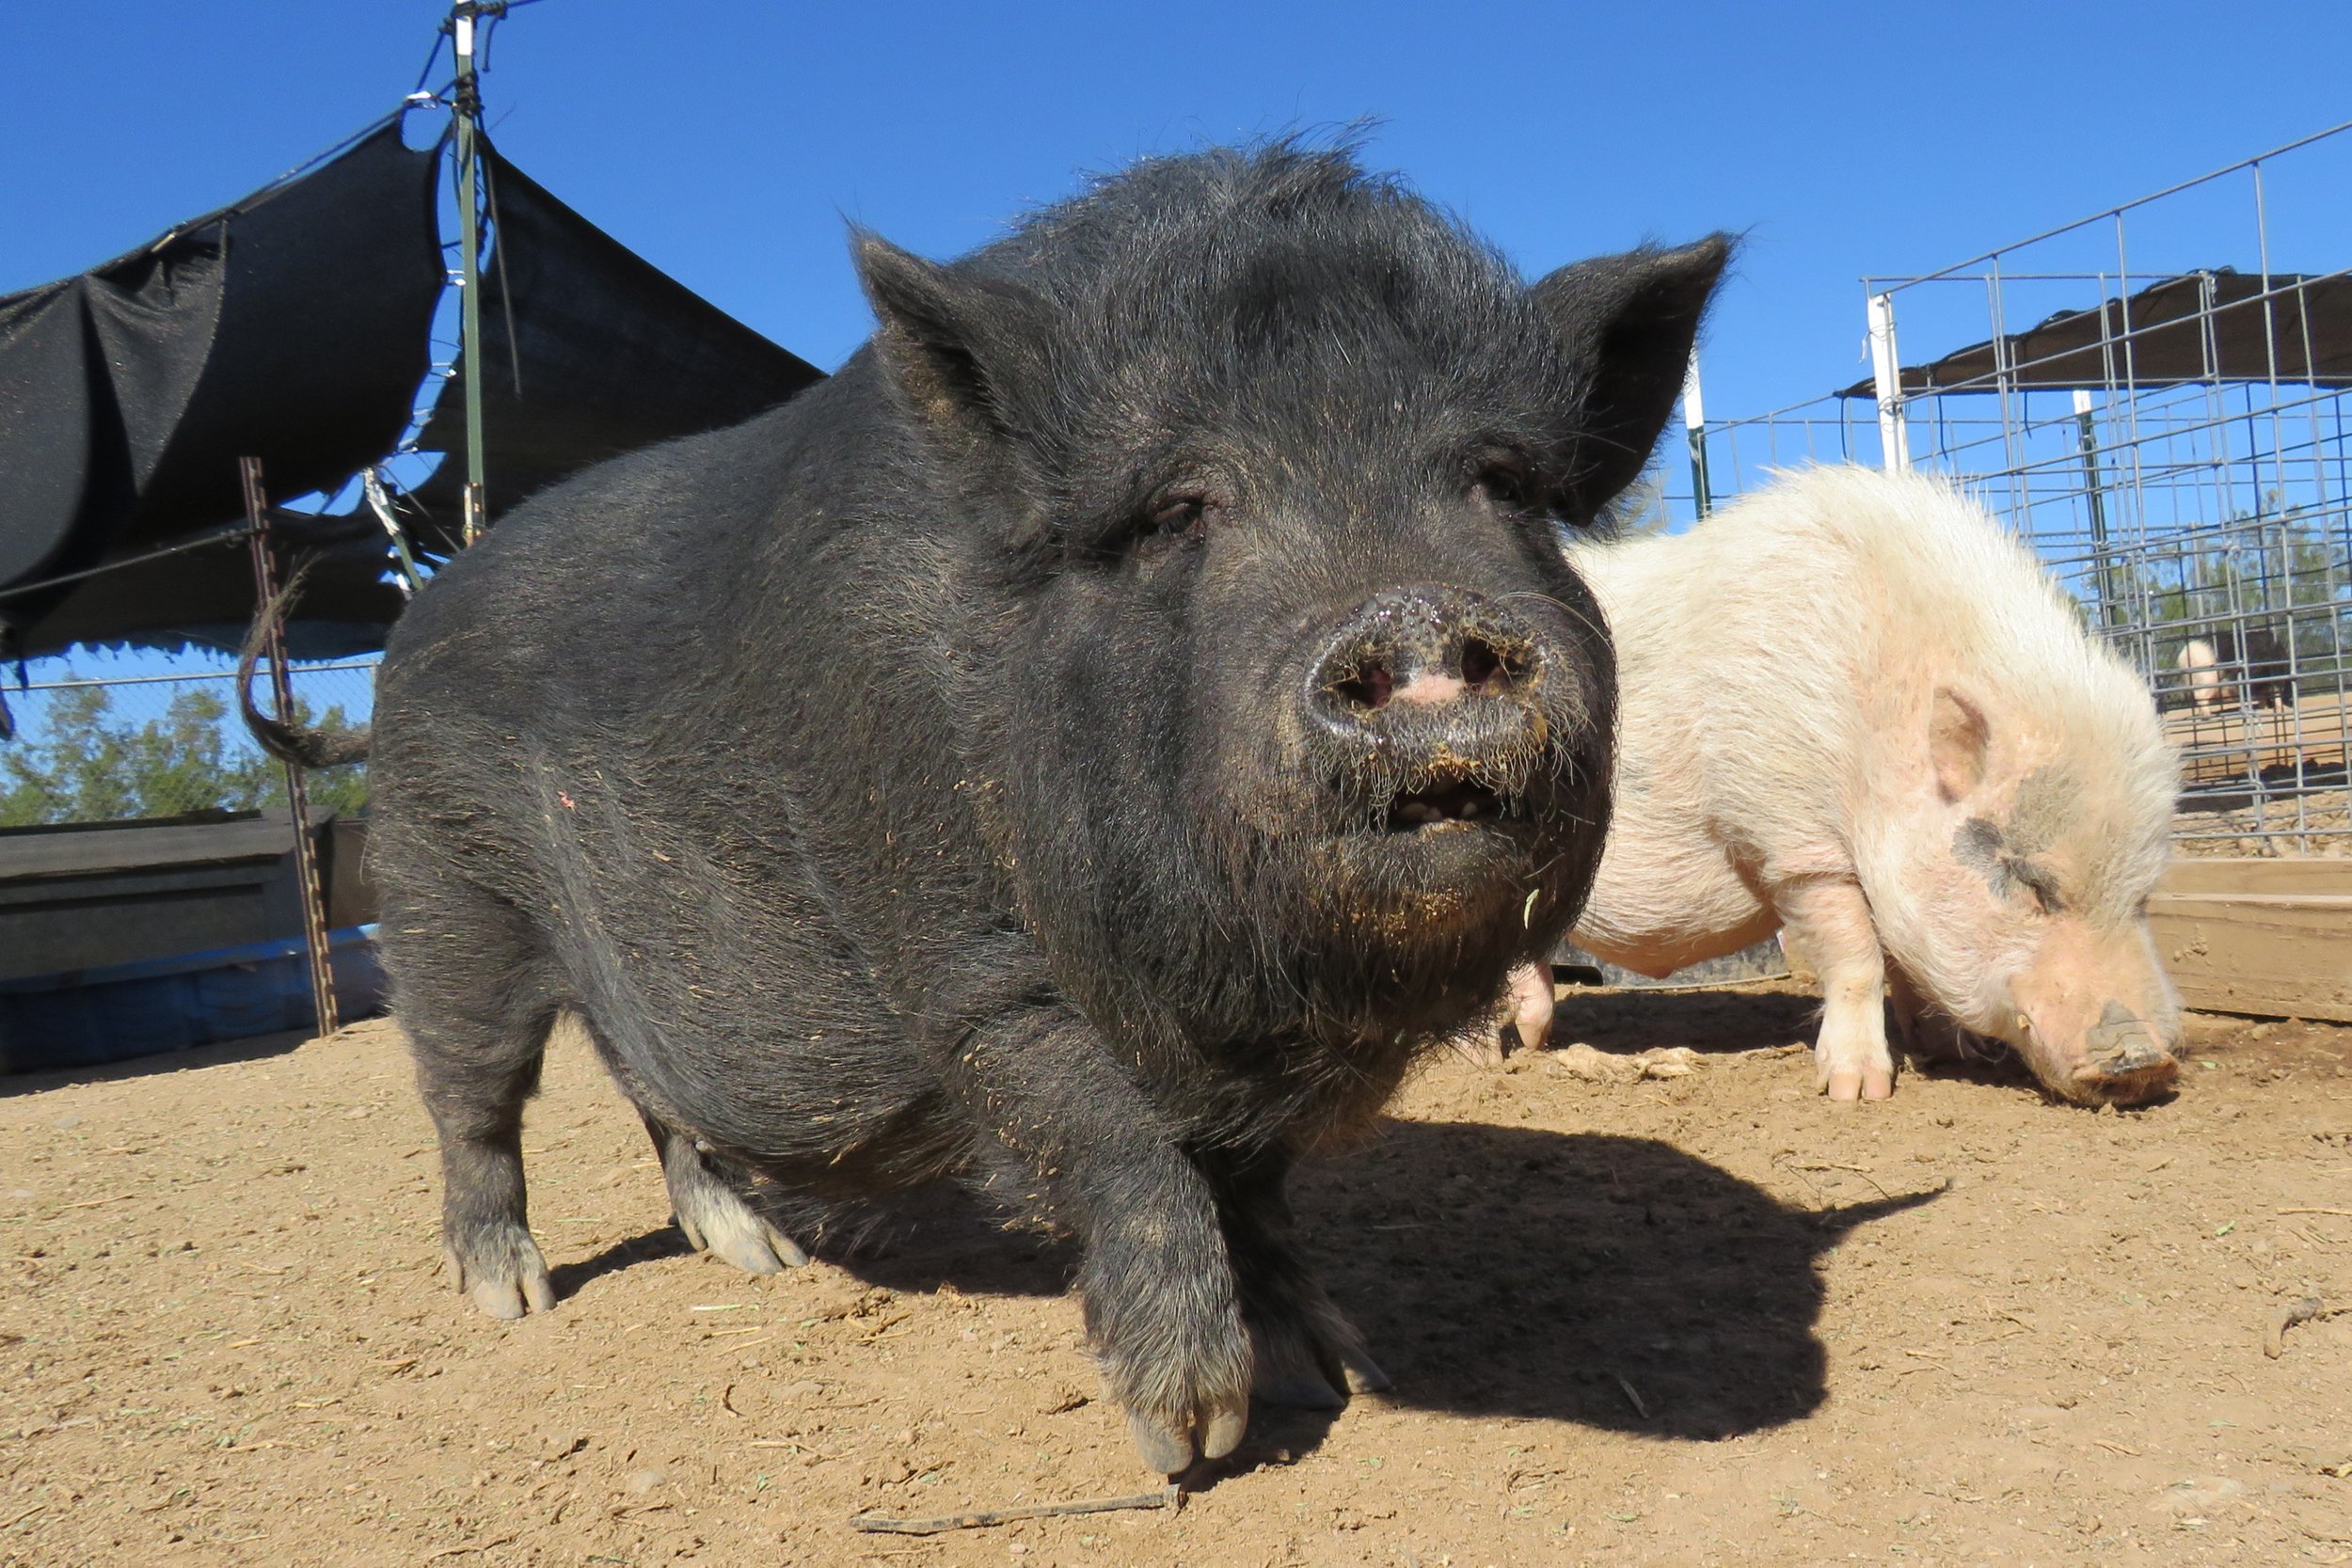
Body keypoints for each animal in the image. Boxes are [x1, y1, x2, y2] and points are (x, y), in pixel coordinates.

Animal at [273, 143, 1728, 1474]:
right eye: (1180, 507)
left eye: (1506, 484)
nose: (1417, 619)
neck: (1235, 1001)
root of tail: (412, 628)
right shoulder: (960, 963)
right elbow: (1110, 1131)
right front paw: (1188, 1435)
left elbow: (1255, 1192)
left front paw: (1333, 1366)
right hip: (447, 896)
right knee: (472, 1095)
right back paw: (510, 1297)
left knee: (655, 1091)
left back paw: (760, 1258)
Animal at [1495, 465, 2181, 1106]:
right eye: (2031, 883)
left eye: (2143, 895)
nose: (2146, 1063)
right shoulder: (1793, 837)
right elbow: (1857, 955)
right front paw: (1858, 1090)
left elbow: (1905, 961)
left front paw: (1945, 1055)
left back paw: (1531, 1042)